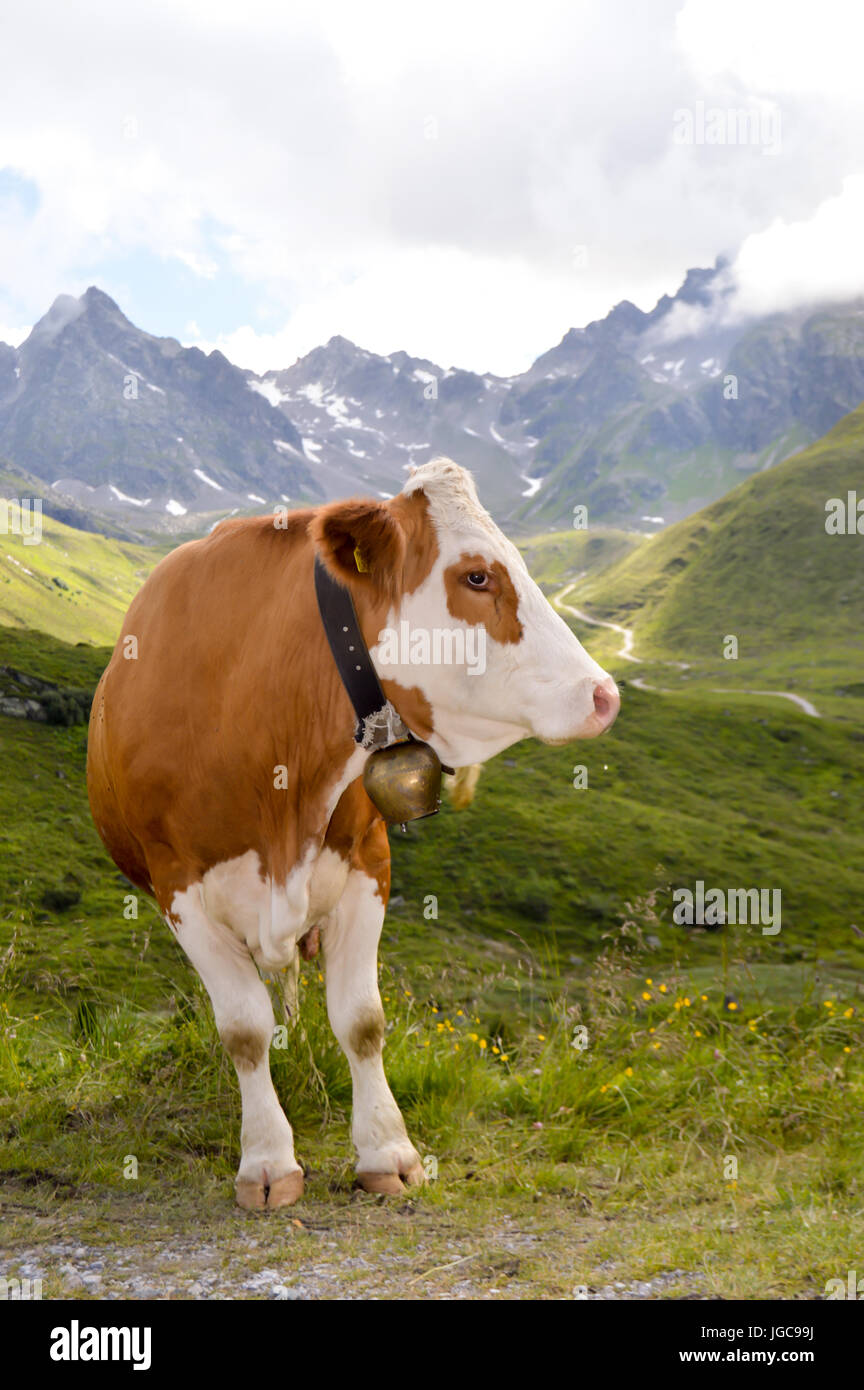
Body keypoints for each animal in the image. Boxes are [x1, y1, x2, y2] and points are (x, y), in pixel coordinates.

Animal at [87, 457, 619, 1207]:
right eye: (476, 576)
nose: (605, 695)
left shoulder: (368, 865)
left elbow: (362, 1019)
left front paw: (387, 1151)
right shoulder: (178, 888)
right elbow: (243, 1027)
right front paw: (267, 1161)